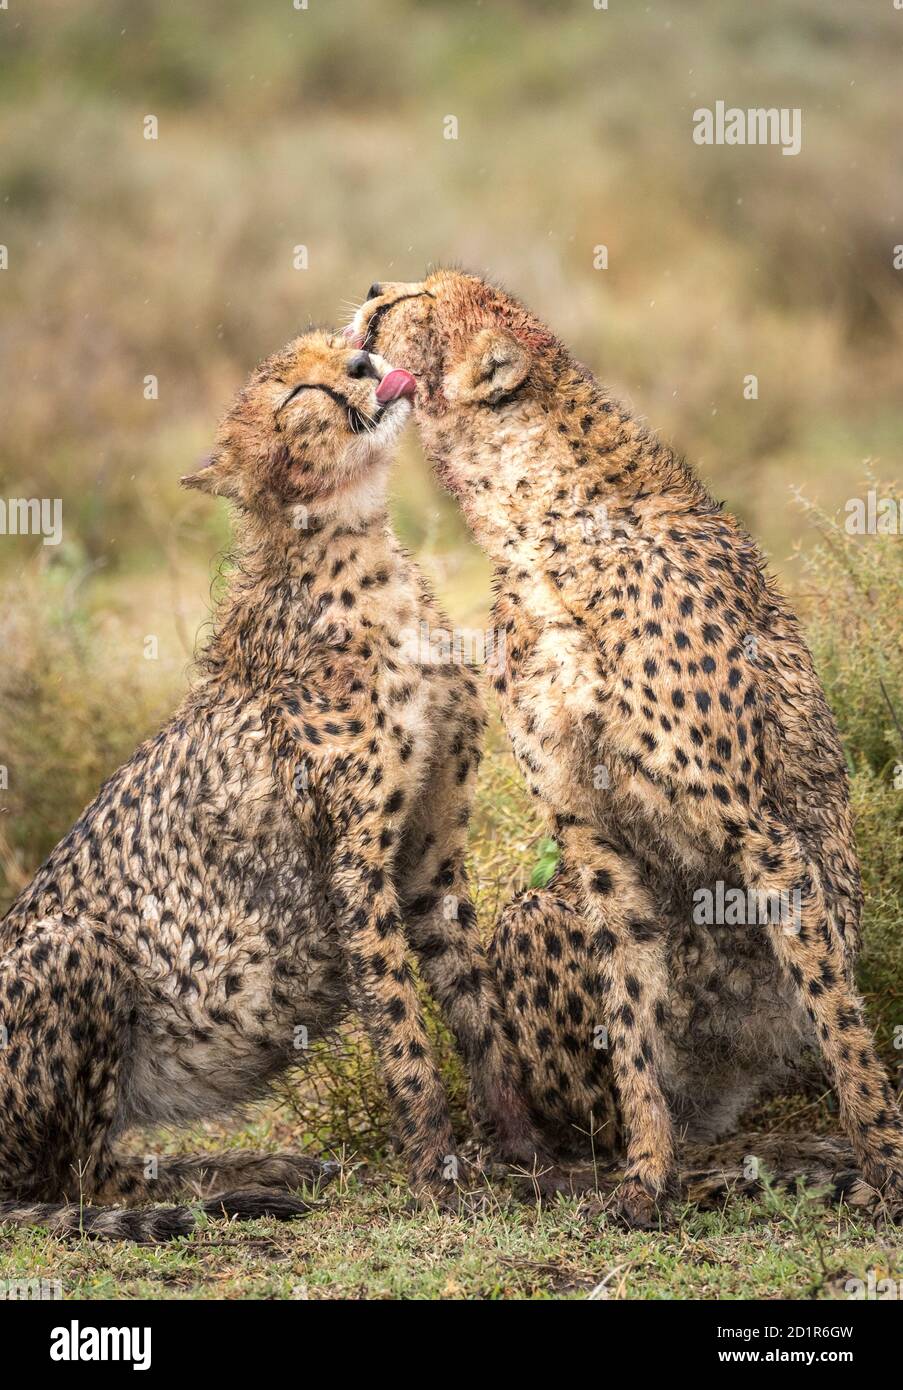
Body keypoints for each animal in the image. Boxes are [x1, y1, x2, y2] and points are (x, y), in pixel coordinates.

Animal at [0, 328, 538, 1240]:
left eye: (347, 342)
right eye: (298, 395)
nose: (366, 365)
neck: (353, 545)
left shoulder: (429, 863)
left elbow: (481, 1014)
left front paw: (530, 1149)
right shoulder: (356, 870)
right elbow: (403, 1031)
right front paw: (440, 1175)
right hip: (70, 943)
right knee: (81, 1179)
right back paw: (238, 1183)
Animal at [349, 271, 903, 1227]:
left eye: (417, 300)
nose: (375, 291)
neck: (535, 523)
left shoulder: (762, 834)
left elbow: (838, 1015)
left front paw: (884, 1165)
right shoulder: (592, 840)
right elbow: (632, 1022)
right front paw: (646, 1175)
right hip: (545, 916)